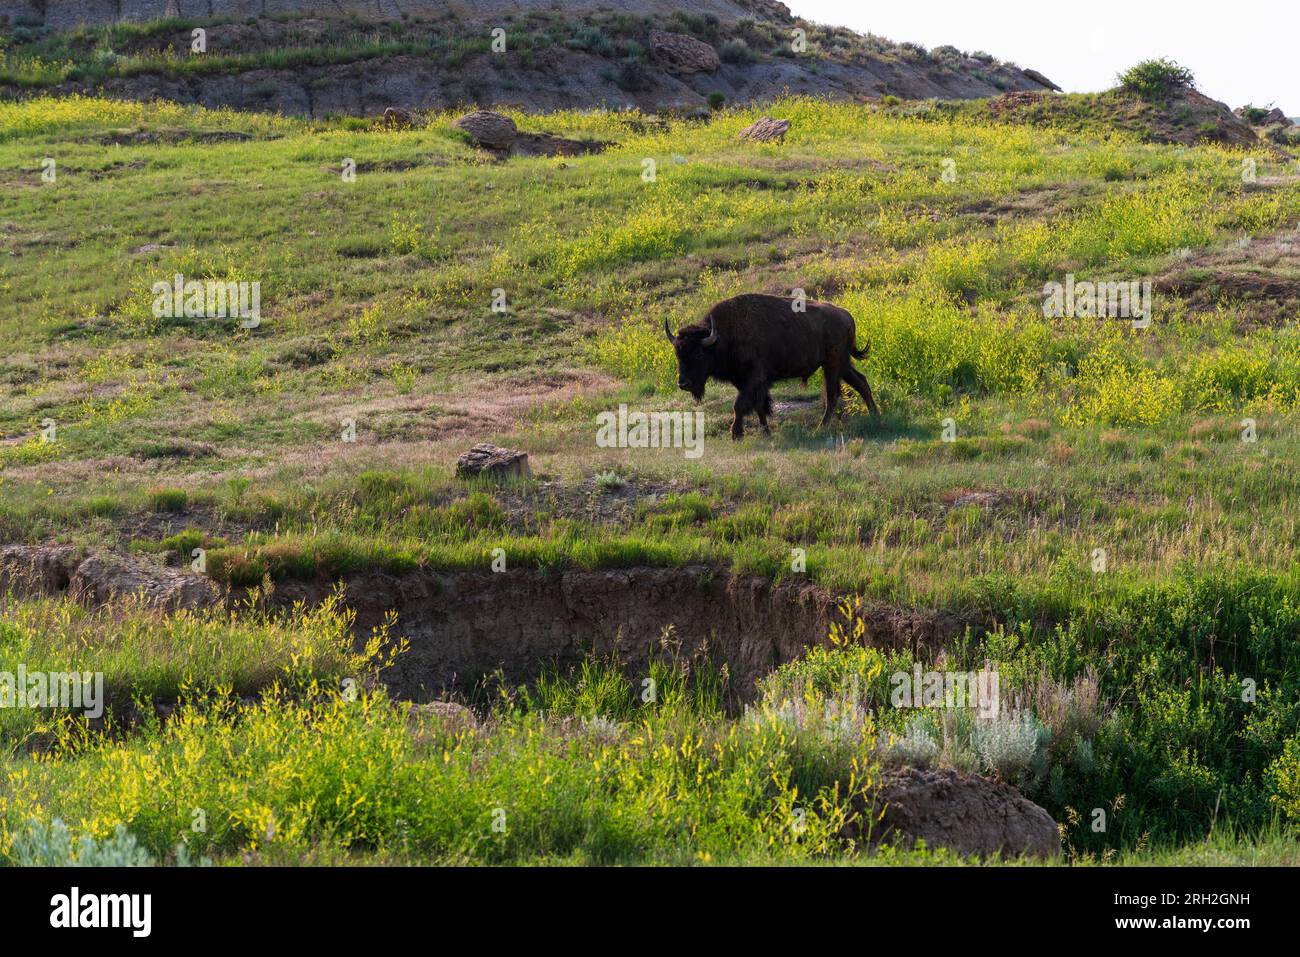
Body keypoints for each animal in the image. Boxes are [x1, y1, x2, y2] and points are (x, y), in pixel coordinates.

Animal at [664, 293, 880, 439]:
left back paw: (821, 428)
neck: (722, 336)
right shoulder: (745, 382)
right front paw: (766, 432)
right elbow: (758, 406)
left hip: (832, 366)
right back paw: (875, 416)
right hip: (842, 365)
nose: (683, 384)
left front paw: (736, 434)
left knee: (833, 395)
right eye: (677, 354)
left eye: (699, 354)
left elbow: (740, 405)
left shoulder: (755, 379)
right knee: (861, 382)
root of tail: (847, 316)